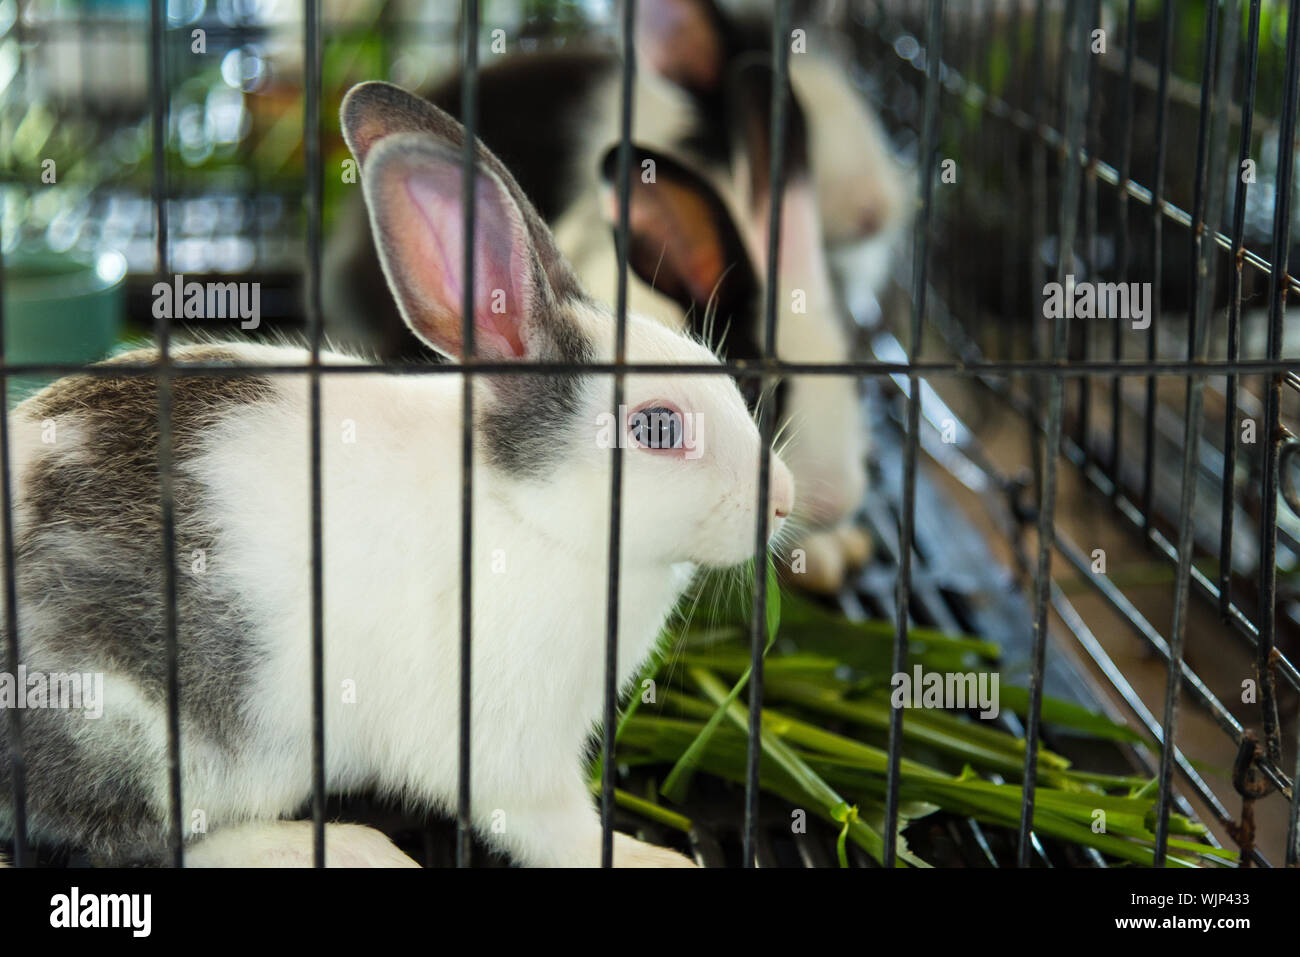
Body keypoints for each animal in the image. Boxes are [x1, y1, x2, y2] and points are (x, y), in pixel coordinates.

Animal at [0, 81, 793, 868]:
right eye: (657, 428)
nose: (782, 500)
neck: (524, 510)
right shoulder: (509, 752)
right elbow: (556, 827)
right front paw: (651, 857)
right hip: (138, 724)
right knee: (136, 838)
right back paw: (343, 847)